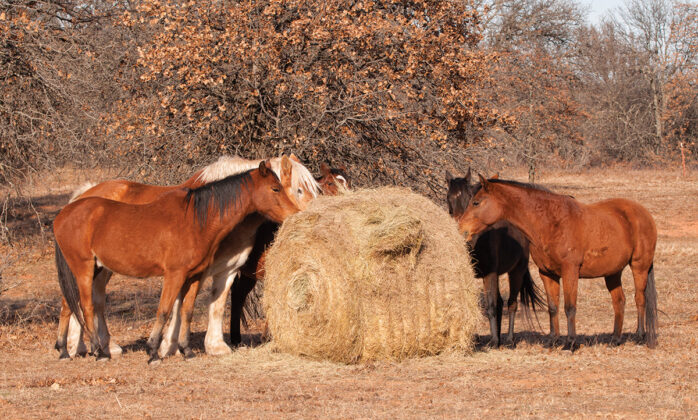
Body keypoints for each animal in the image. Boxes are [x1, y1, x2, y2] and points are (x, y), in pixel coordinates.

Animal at [65, 155, 320, 358]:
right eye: (298, 189)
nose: (310, 217)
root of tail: (84, 194)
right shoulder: (188, 270)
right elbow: (179, 305)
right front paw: (169, 345)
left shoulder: (227, 270)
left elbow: (216, 305)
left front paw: (215, 346)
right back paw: (81, 347)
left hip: (102, 267)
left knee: (90, 299)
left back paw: (97, 346)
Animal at [446, 169, 544, 348]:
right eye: (449, 197)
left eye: (470, 197)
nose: (462, 232)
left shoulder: (489, 274)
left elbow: (491, 306)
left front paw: (493, 341)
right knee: (500, 302)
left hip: (516, 272)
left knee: (511, 303)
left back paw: (508, 339)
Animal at [457, 175, 658, 350]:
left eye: (476, 202)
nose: (461, 229)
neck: (551, 222)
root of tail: (643, 213)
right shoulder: (547, 274)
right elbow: (553, 307)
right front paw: (553, 340)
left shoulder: (570, 271)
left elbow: (570, 307)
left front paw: (570, 343)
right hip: (612, 273)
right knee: (619, 301)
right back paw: (615, 339)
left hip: (639, 266)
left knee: (639, 299)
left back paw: (640, 336)